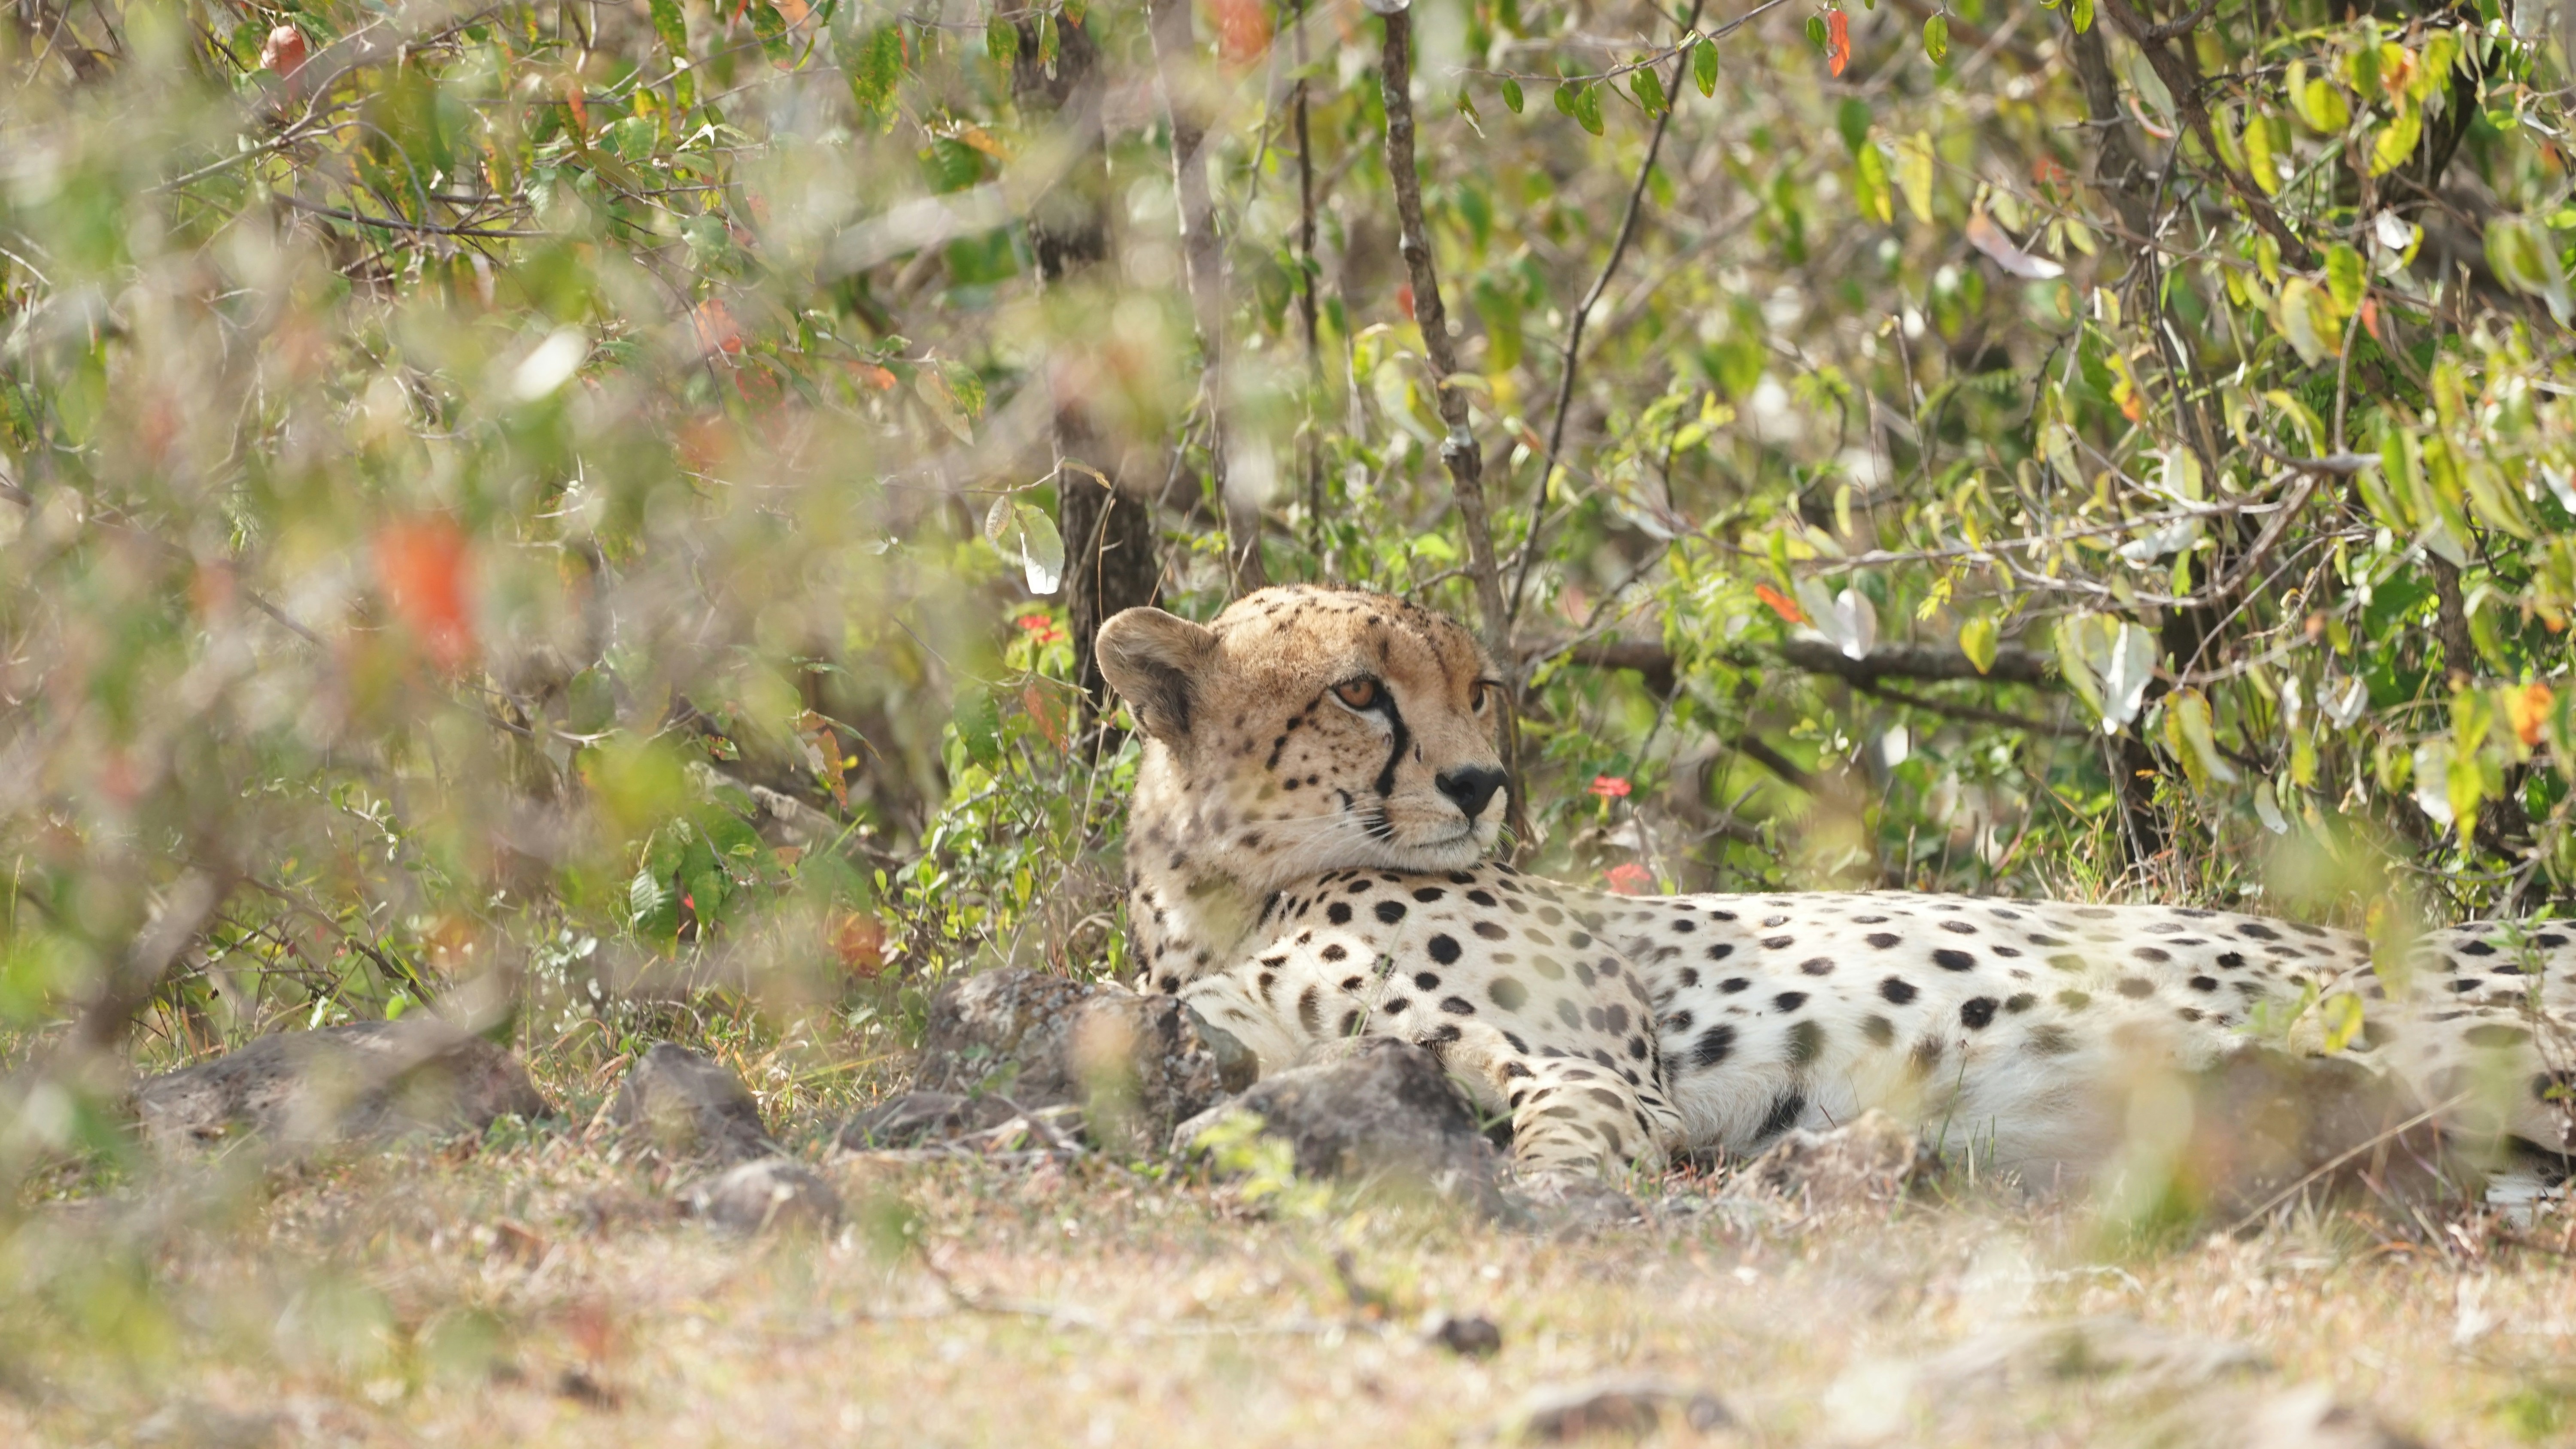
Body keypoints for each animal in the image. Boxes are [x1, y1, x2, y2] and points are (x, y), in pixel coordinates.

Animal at [1095, 584, 2576, 1190]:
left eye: (1479, 690)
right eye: (1359, 691)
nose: (1480, 786)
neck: (1234, 891)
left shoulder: (1595, 1073)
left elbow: (1565, 1145)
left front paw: (1550, 1203)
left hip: (2465, 1035)